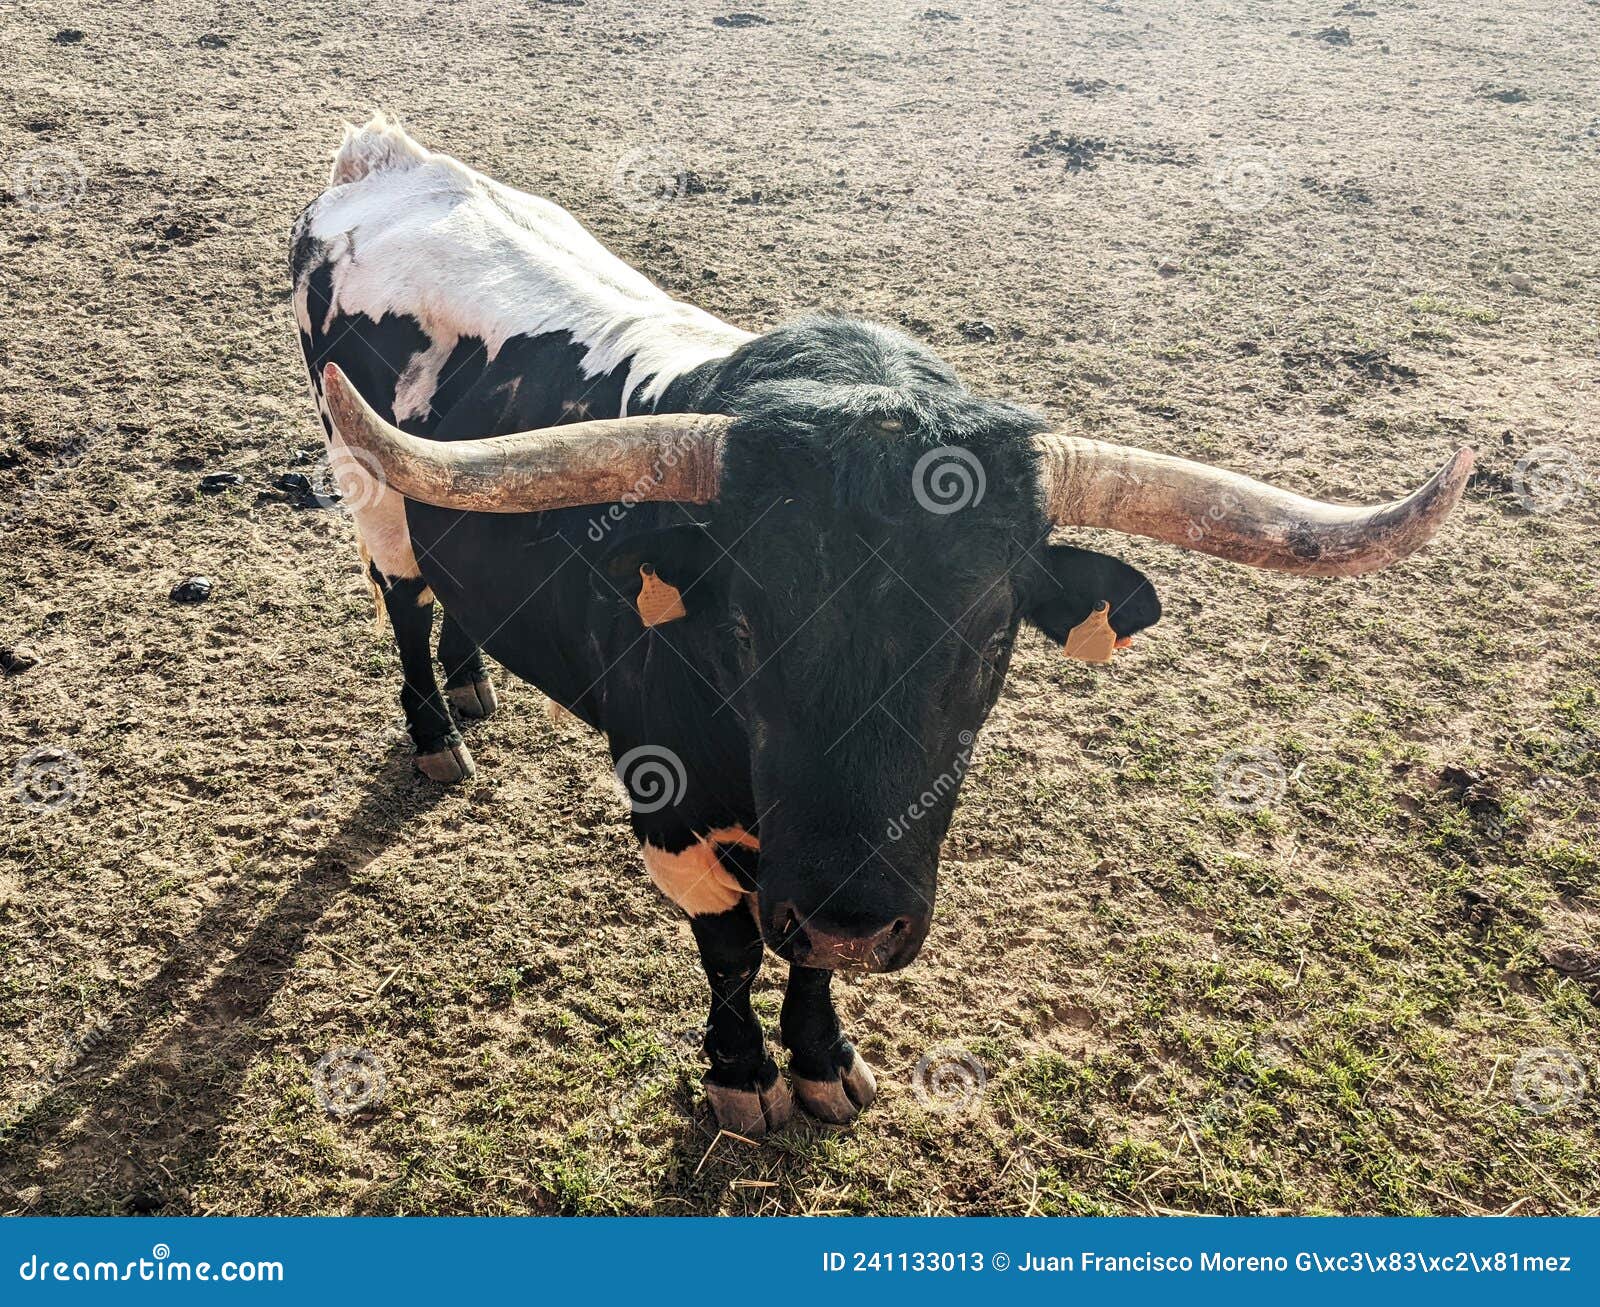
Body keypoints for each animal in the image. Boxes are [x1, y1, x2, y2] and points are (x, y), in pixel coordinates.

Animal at [291, 116, 1472, 1133]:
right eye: (743, 628)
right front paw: (741, 1077)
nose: (856, 914)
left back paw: (477, 680)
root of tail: (383, 155)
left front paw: (822, 1059)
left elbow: (805, 960)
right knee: (403, 600)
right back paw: (439, 733)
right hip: (370, 489)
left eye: (992, 639)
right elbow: (730, 947)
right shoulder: (670, 809)